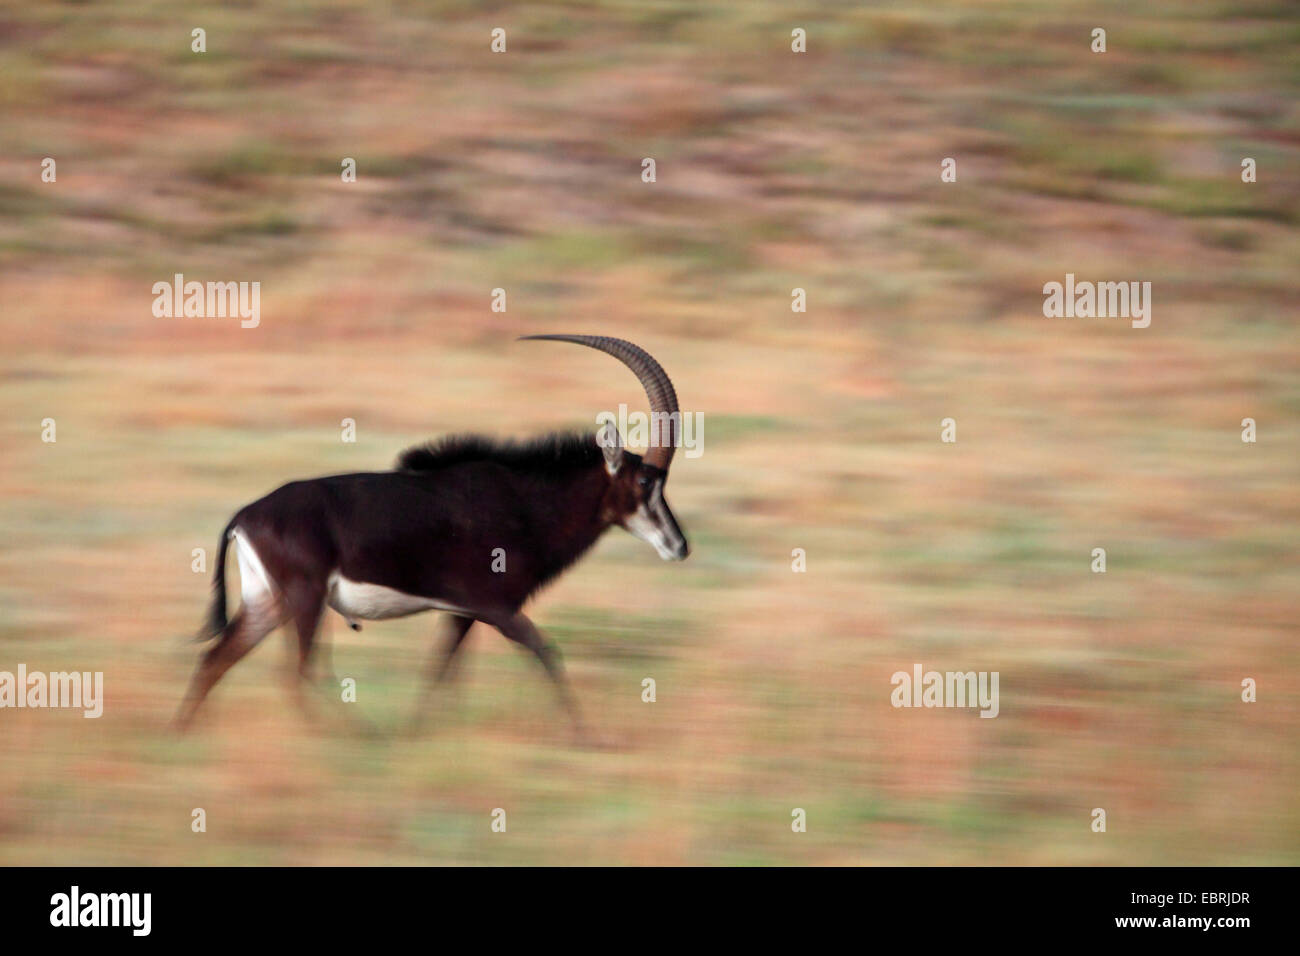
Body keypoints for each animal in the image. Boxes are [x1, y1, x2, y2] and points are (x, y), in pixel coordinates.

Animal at [175, 335, 689, 741]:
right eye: (646, 482)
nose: (679, 546)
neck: (524, 501)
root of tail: (247, 514)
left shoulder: (464, 613)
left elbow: (440, 670)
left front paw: (418, 731)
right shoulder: (497, 609)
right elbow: (547, 653)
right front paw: (588, 736)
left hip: (269, 601)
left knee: (216, 660)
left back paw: (182, 735)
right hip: (305, 598)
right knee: (297, 672)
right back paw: (354, 736)